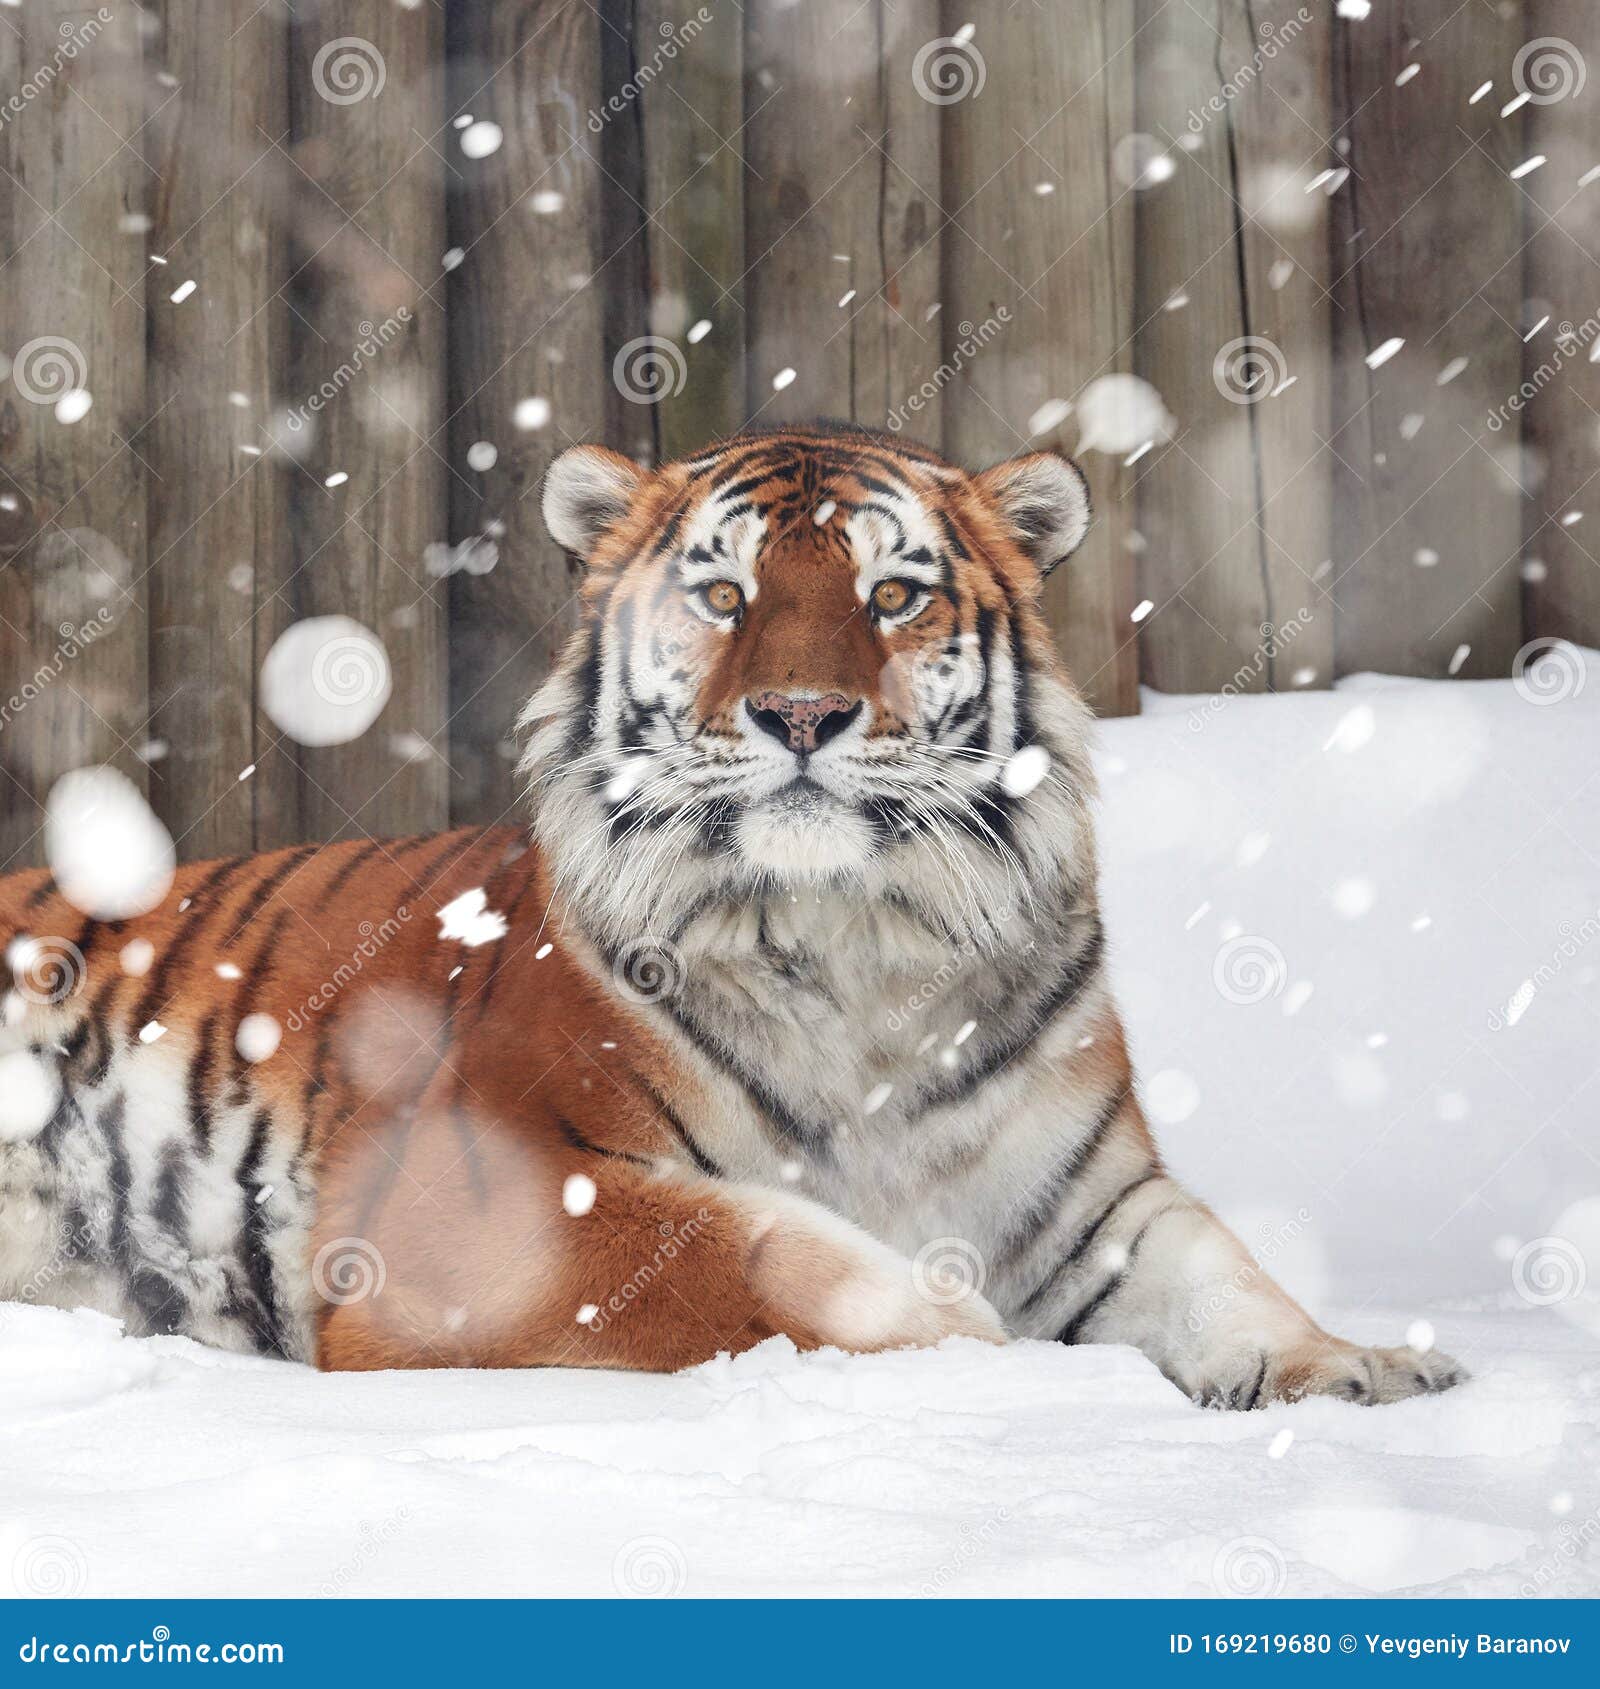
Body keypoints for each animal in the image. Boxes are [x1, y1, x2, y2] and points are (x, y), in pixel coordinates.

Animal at [0, 421, 1465, 1406]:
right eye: (724, 596)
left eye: (892, 594)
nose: (802, 714)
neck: (856, 946)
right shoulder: (495, 1205)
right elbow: (788, 1261)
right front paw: (997, 1375)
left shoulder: (1087, 1199)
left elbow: (1220, 1264)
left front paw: (1355, 1367)